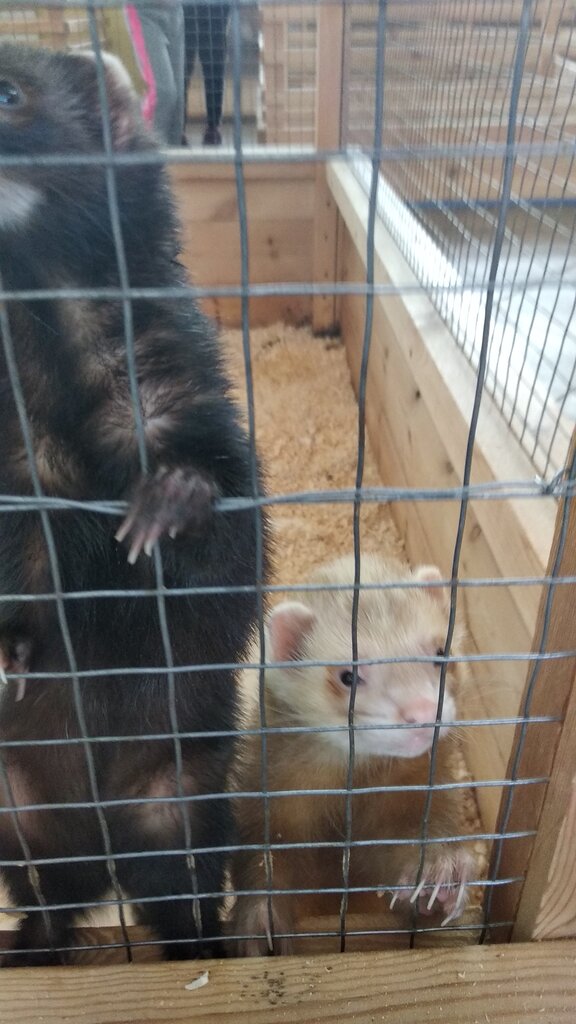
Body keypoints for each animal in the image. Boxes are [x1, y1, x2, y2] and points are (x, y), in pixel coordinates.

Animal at [0, 44, 268, 965]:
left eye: (10, 88)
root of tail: (99, 848)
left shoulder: (190, 400)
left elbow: (228, 547)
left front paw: (169, 502)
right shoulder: (16, 482)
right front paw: (11, 651)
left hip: (177, 795)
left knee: (176, 890)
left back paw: (204, 945)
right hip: (14, 814)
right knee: (48, 896)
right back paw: (32, 941)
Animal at [230, 554, 477, 956]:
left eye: (441, 652)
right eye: (348, 675)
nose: (423, 711)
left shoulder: (412, 802)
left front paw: (439, 876)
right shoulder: (267, 809)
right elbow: (265, 864)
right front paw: (261, 920)